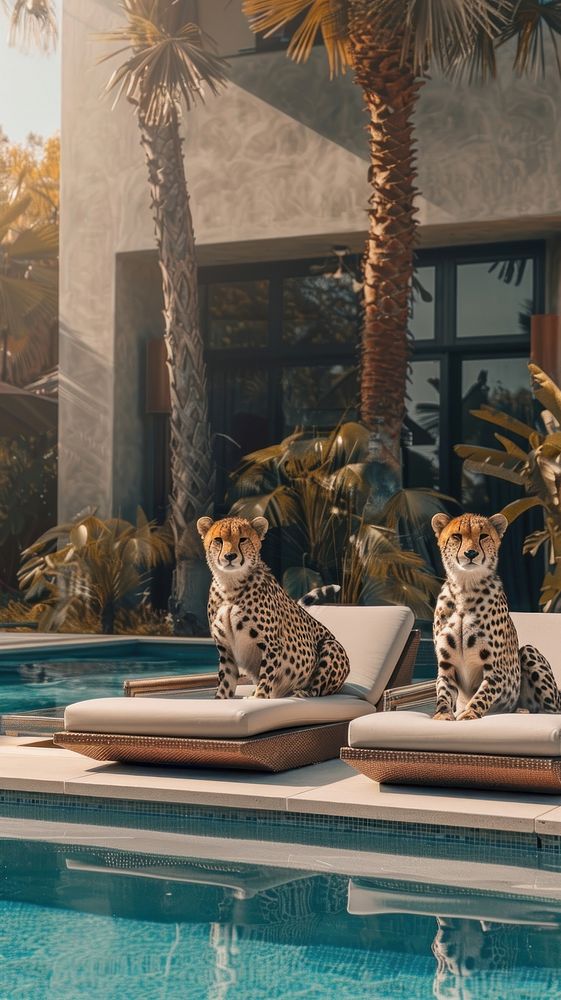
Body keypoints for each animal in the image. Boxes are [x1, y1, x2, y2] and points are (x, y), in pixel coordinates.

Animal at [197, 514, 350, 699]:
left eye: (243, 539)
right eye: (218, 540)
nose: (230, 556)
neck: (230, 586)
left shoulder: (272, 645)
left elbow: (267, 676)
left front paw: (259, 697)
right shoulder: (226, 650)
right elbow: (225, 683)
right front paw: (221, 699)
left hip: (332, 646)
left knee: (317, 690)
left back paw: (302, 692)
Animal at [431, 511, 561, 720]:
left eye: (483, 536)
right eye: (457, 536)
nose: (471, 554)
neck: (464, 587)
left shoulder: (496, 671)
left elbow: (482, 695)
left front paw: (469, 714)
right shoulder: (446, 667)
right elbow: (443, 694)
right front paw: (442, 715)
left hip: (529, 652)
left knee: (551, 710)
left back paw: (523, 711)